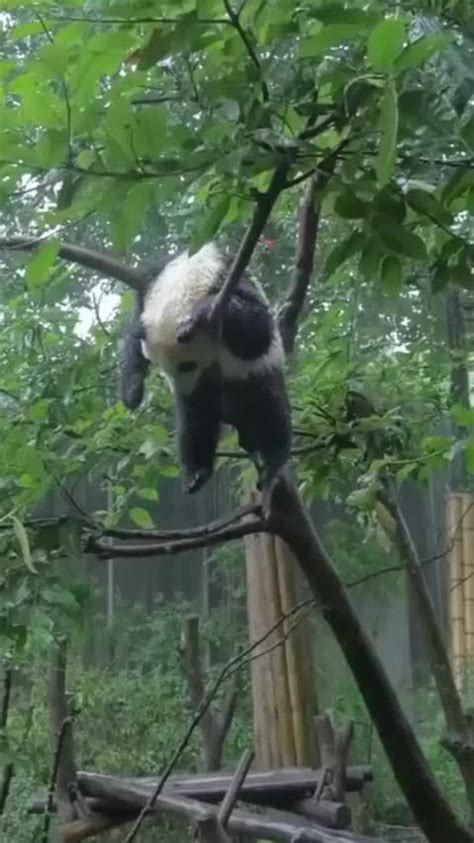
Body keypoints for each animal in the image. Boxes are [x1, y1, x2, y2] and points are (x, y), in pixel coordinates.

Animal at [118, 242, 291, 494]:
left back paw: (271, 462)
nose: (184, 390)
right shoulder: (152, 281)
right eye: (162, 368)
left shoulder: (230, 278)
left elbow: (257, 328)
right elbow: (132, 337)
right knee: (194, 425)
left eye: (187, 366)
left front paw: (200, 314)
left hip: (256, 378)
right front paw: (131, 392)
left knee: (270, 411)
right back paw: (196, 473)